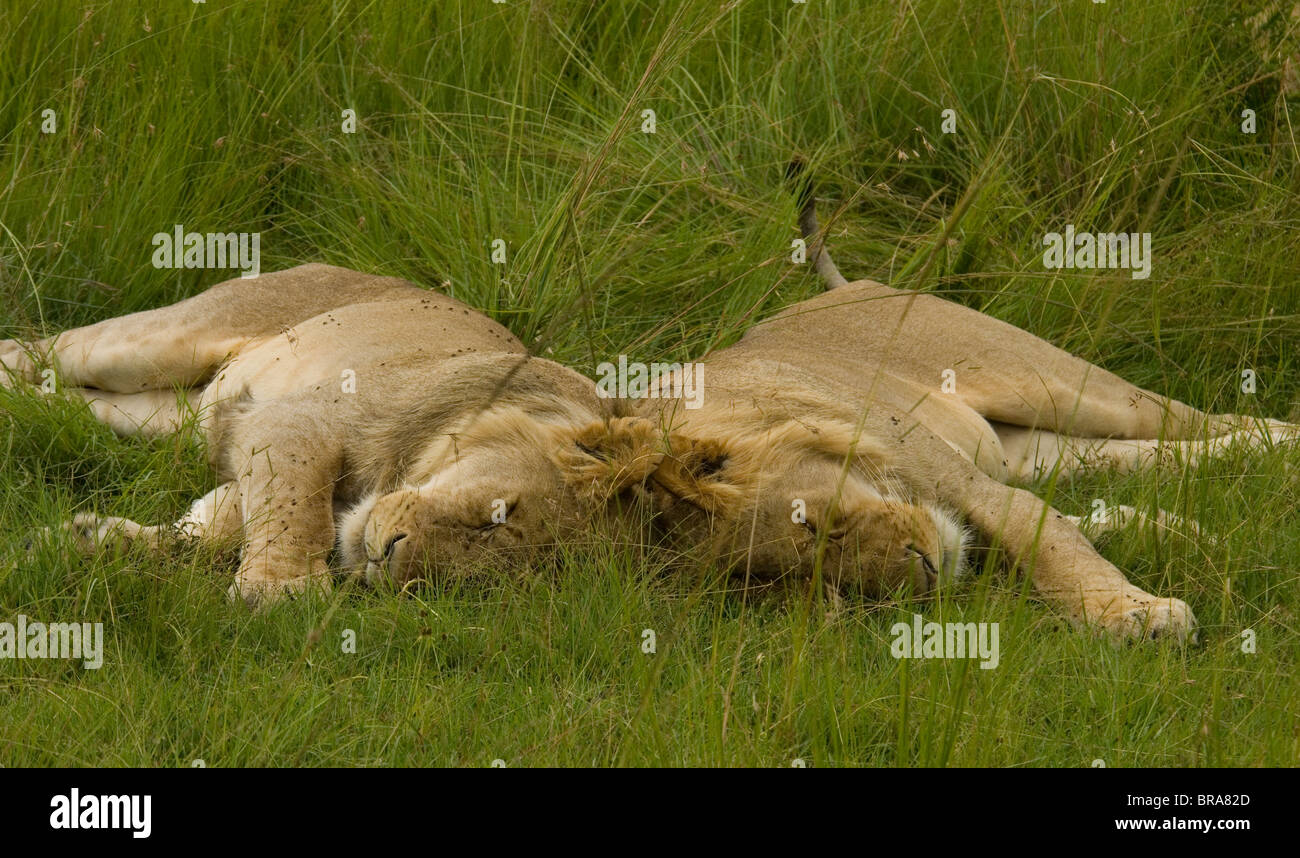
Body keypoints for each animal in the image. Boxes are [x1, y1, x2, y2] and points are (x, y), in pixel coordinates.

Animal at [1, 264, 662, 604]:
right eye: (495, 517)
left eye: (469, 582)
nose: (387, 557)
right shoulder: (297, 420)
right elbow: (299, 507)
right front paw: (283, 592)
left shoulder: (242, 452)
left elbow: (213, 531)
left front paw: (89, 541)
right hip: (158, 342)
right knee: (33, 348)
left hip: (162, 415)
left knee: (70, 400)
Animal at [638, 169, 1299, 641]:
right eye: (832, 584)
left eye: (813, 523)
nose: (926, 570)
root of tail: (850, 287)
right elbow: (1074, 526)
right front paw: (1173, 534)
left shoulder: (974, 488)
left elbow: (1054, 548)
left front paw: (1137, 617)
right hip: (1032, 449)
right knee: (1157, 454)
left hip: (1059, 384)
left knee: (1213, 420)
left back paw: (1284, 443)